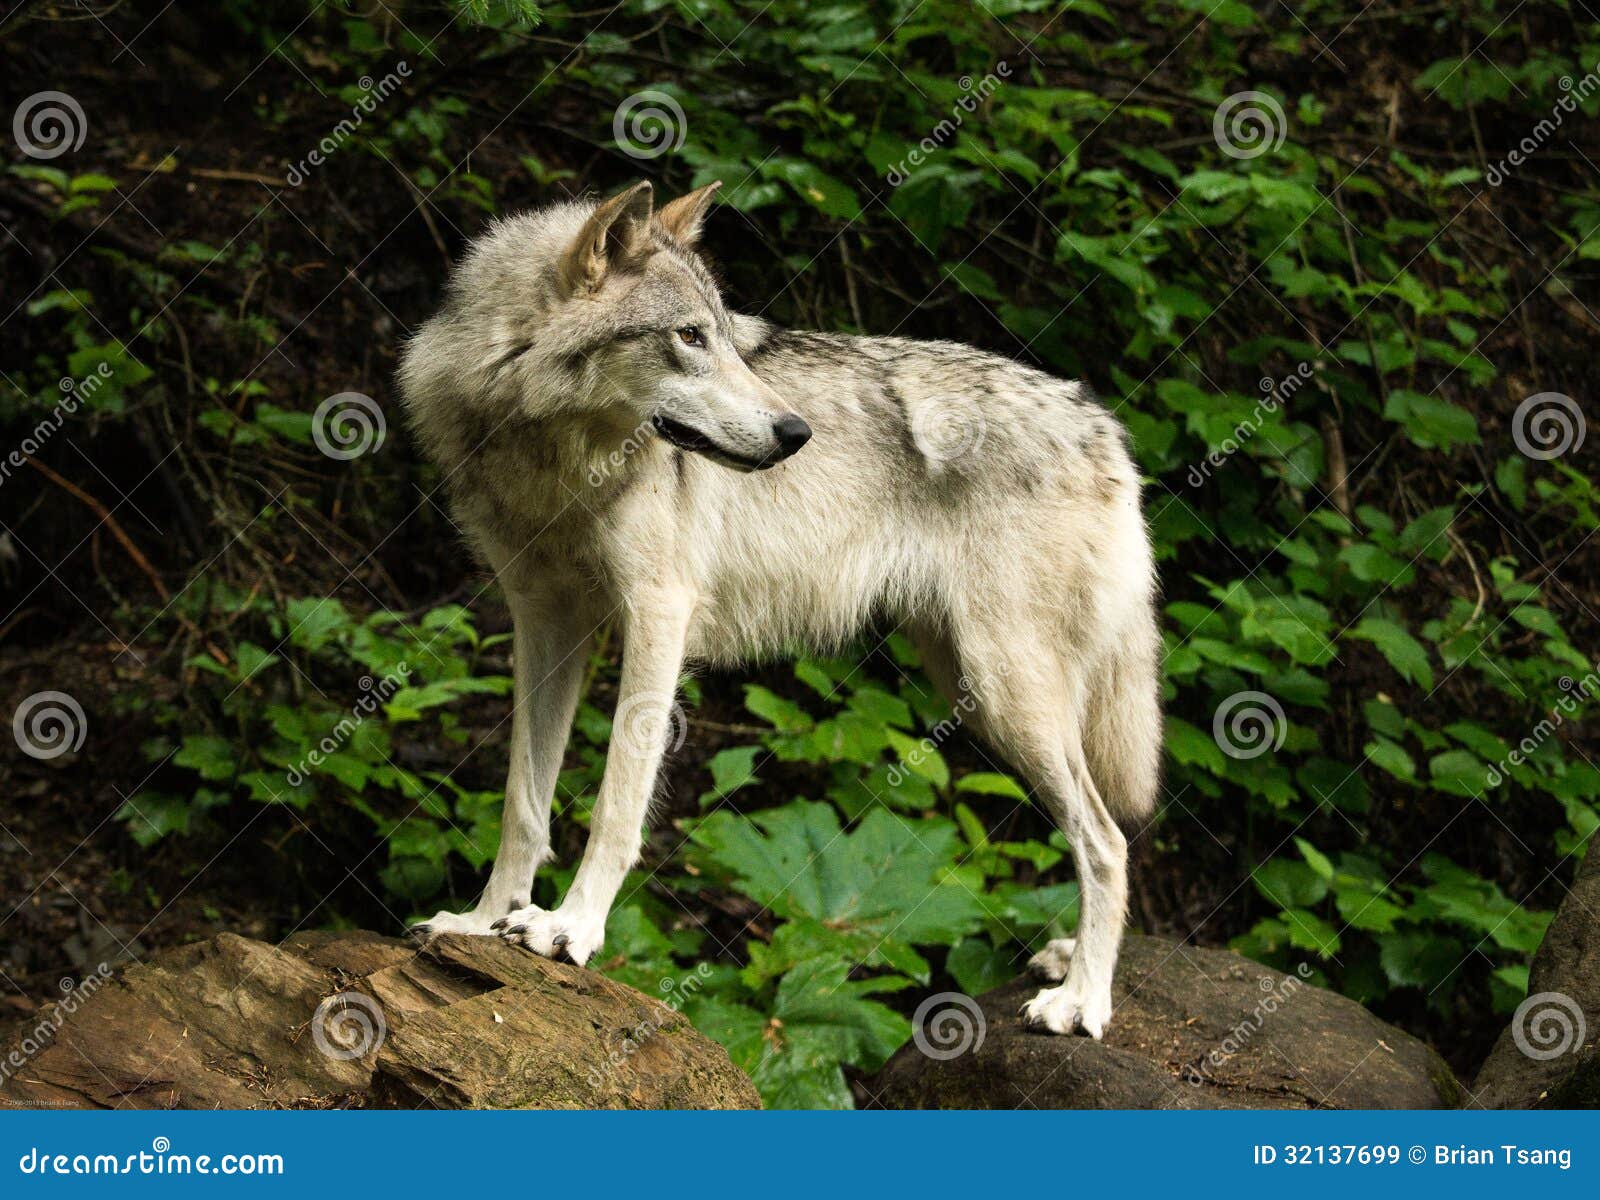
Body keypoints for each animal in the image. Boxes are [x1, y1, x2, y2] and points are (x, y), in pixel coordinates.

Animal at [397, 179, 1161, 1037]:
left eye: (725, 337)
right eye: (690, 336)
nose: (796, 432)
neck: (554, 457)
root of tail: (1101, 421)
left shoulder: (658, 614)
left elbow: (616, 802)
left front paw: (570, 928)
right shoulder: (545, 623)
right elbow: (523, 804)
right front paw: (481, 922)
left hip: (1006, 693)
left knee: (1106, 840)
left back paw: (1082, 999)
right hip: (975, 684)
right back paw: (1069, 957)